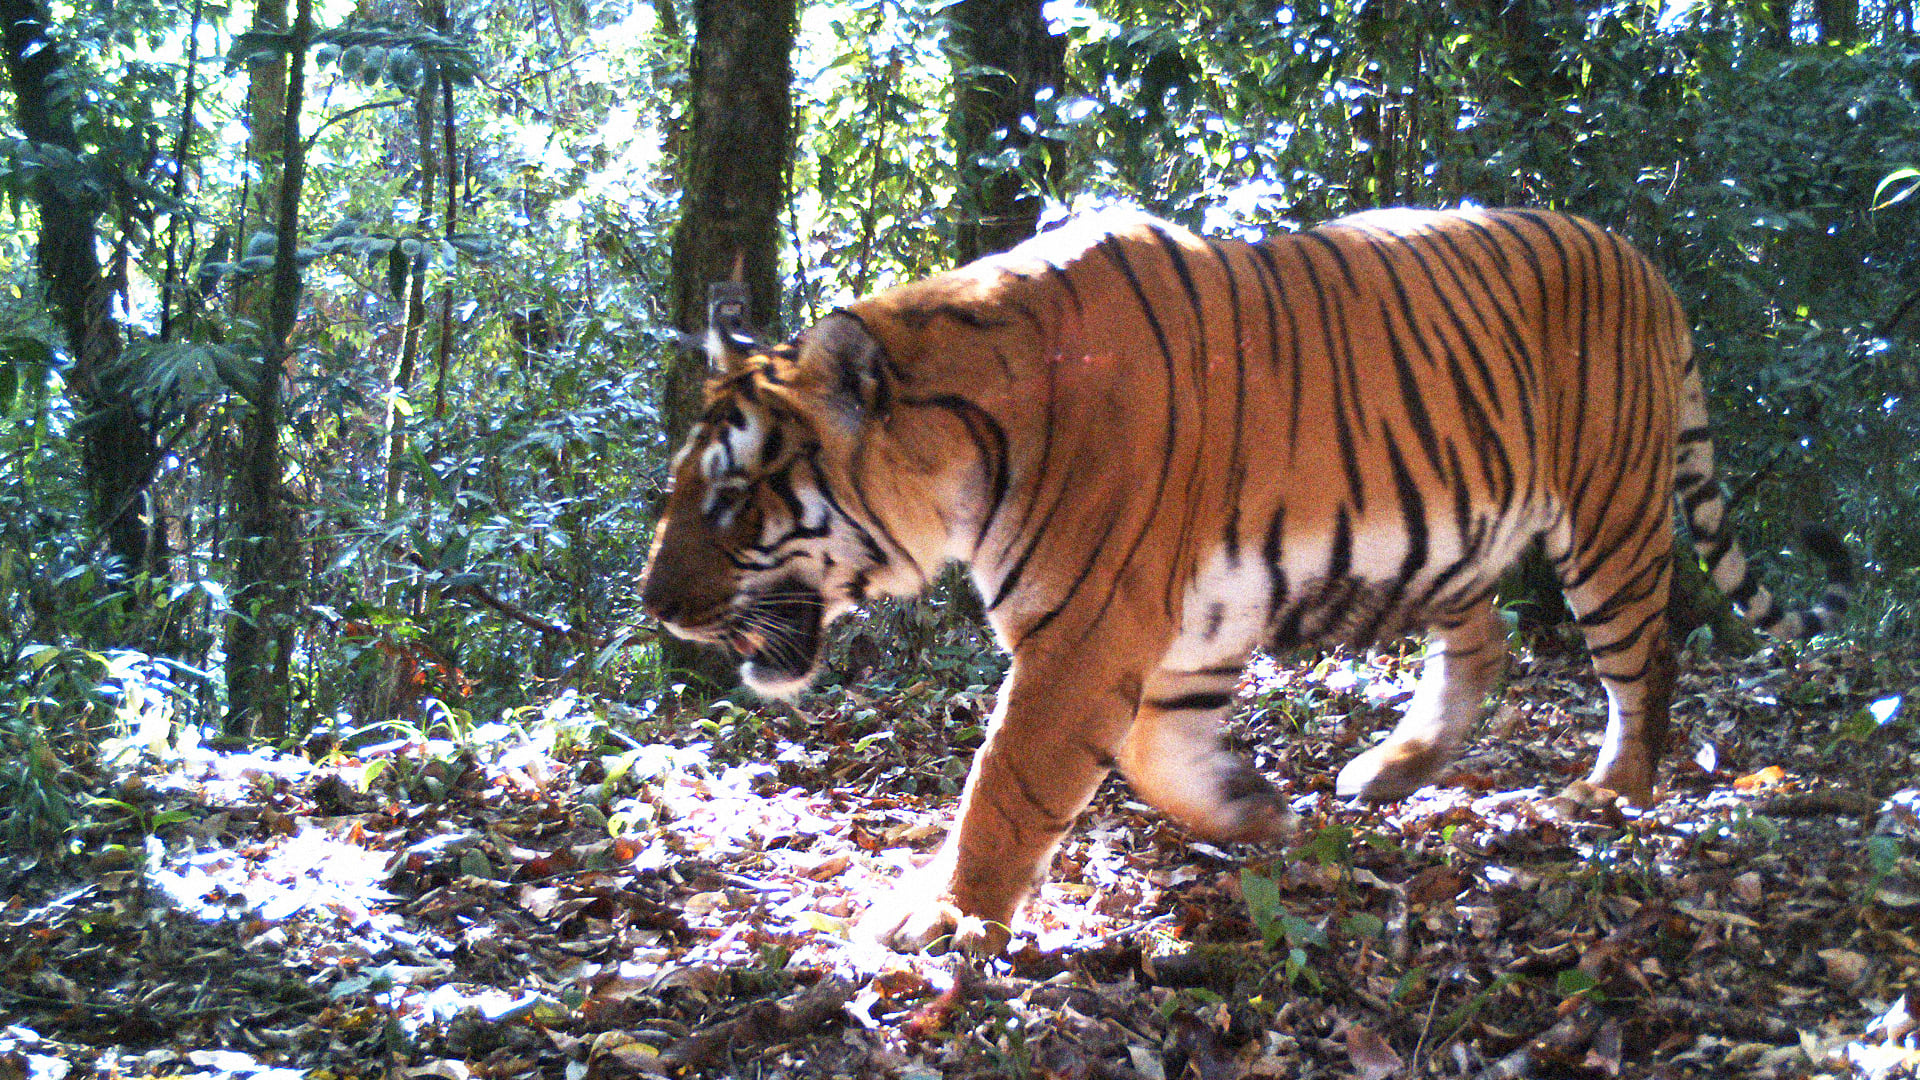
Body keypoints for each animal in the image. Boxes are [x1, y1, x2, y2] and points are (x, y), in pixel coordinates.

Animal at [638, 207, 1852, 954]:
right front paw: (1254, 809)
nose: (653, 606)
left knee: (1646, 657)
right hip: (1458, 534)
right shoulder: (1177, 628)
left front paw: (943, 921)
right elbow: (1154, 752)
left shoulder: (1087, 630)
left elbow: (1006, 785)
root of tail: (1644, 261)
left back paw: (1610, 792)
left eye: (731, 496)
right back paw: (1390, 768)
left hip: (1607, 518)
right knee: (1488, 642)